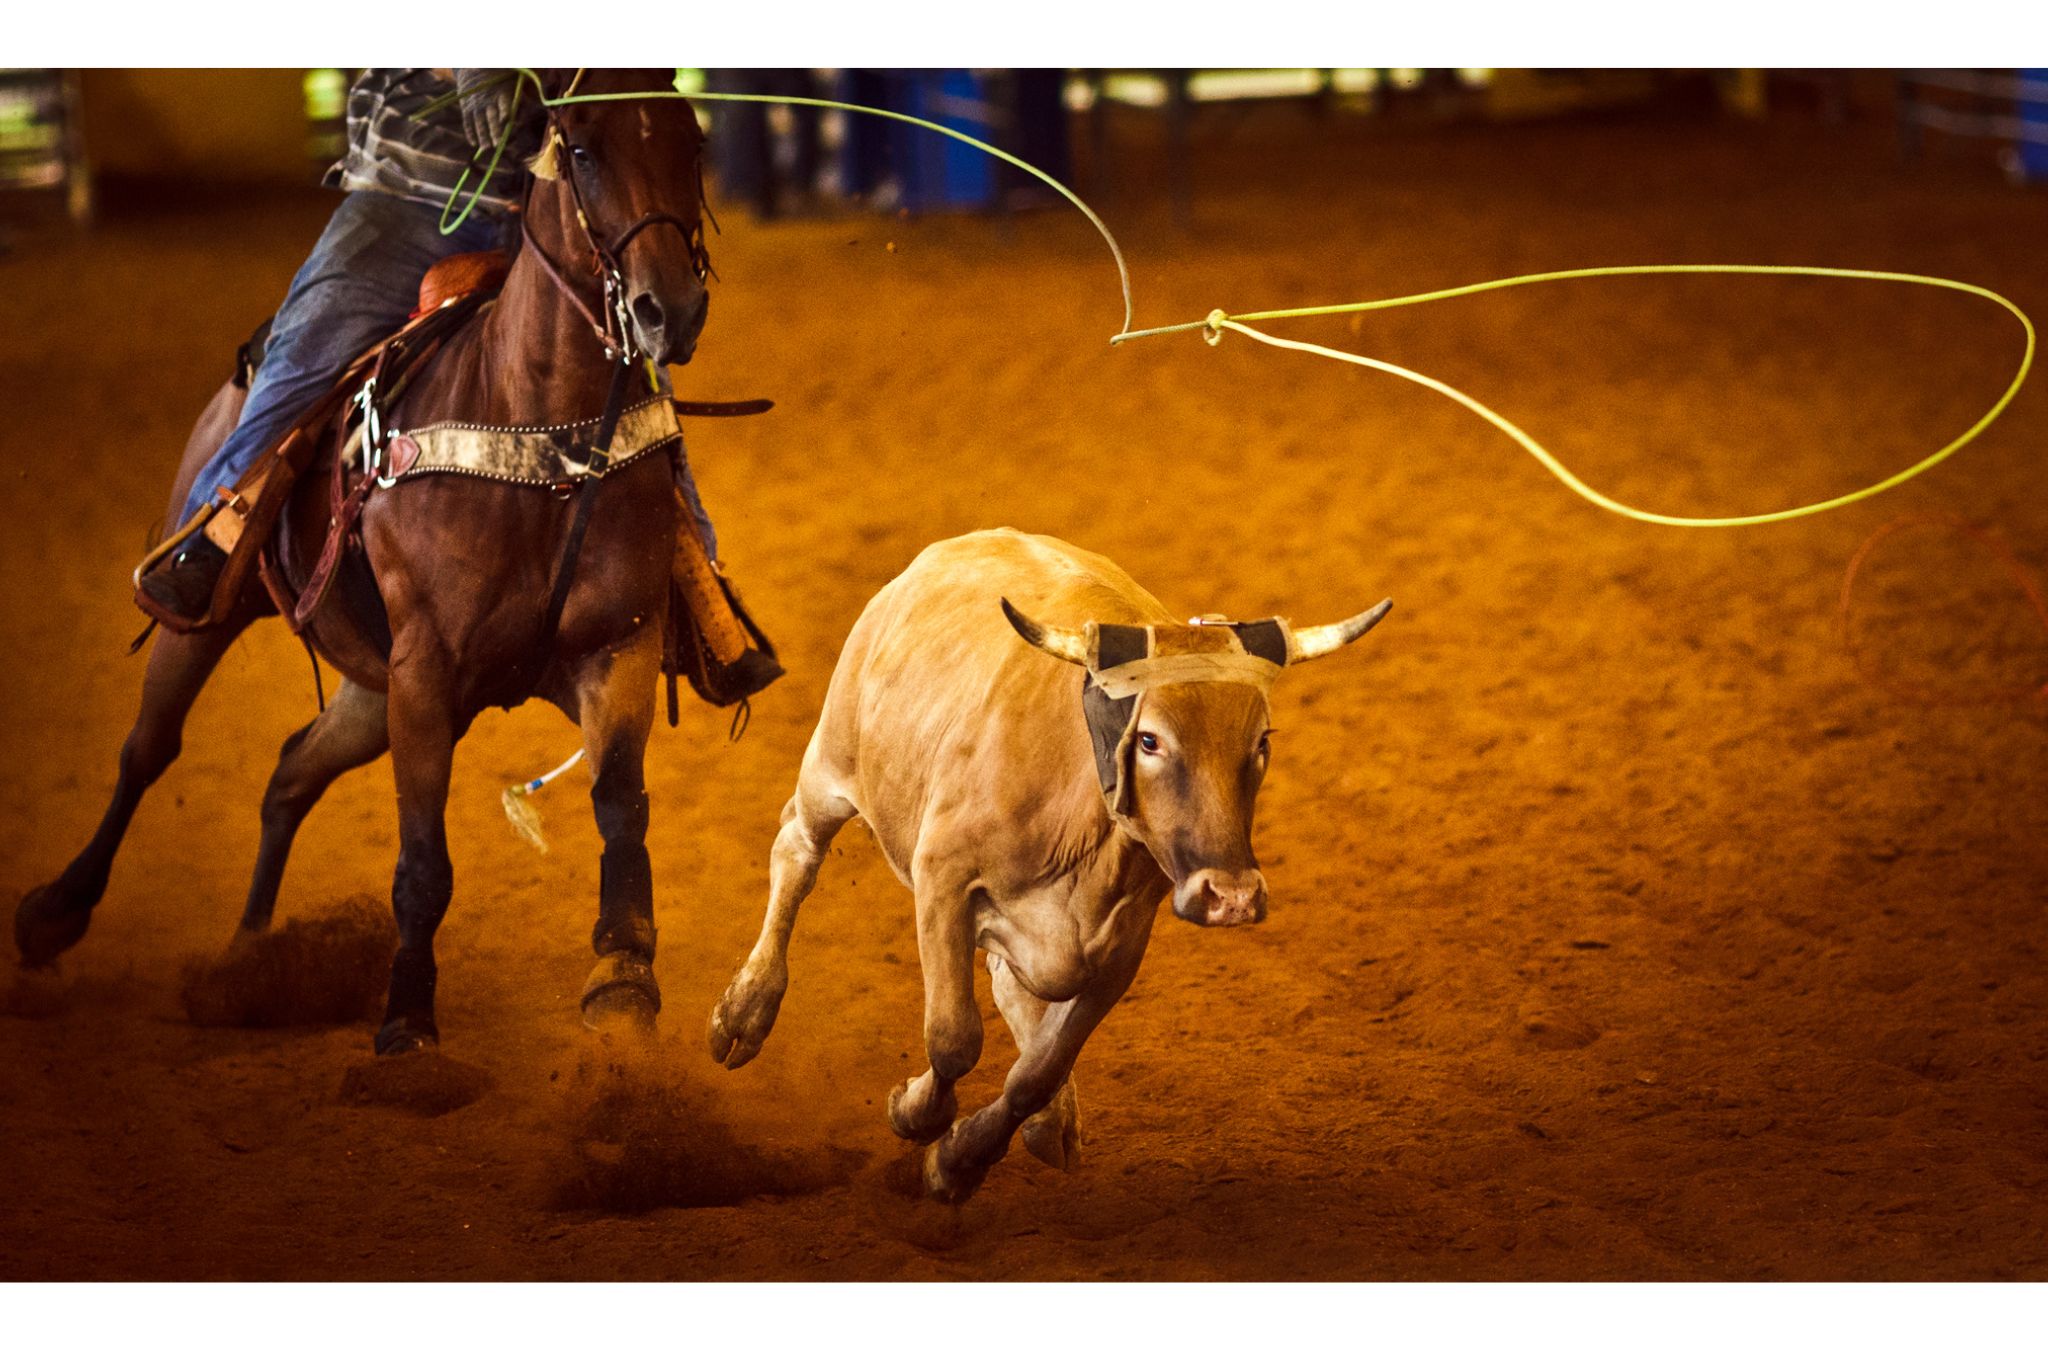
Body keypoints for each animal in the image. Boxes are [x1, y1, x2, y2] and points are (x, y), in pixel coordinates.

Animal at [15, 69, 715, 1054]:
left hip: (366, 684)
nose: (671, 309)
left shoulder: (618, 647)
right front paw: (406, 1023)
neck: (544, 437)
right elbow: (422, 862)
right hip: (212, 615)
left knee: (289, 771)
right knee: (147, 749)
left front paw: (622, 986)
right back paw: (56, 913)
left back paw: (247, 962)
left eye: (693, 141)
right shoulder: (426, 674)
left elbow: (621, 811)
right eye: (582, 149)